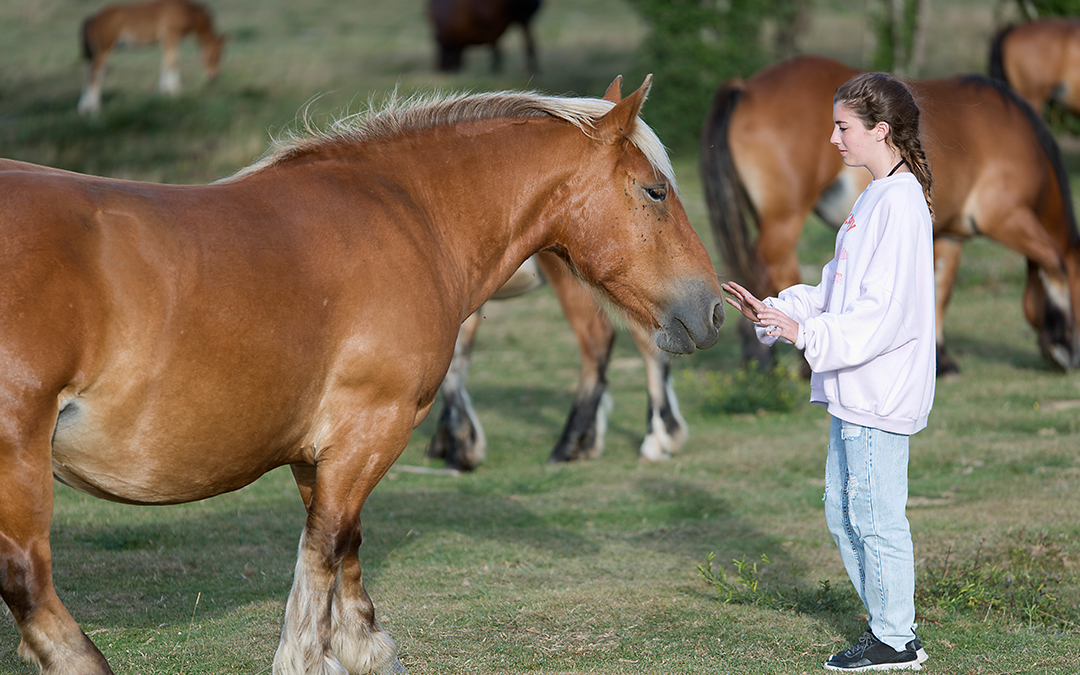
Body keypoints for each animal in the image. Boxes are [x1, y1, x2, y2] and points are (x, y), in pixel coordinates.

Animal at [77, 0, 227, 115]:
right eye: (214, 56)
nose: (213, 77)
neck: (186, 10)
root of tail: (91, 18)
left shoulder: (167, 40)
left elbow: (165, 62)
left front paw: (163, 91)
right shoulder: (172, 35)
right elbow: (172, 61)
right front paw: (175, 90)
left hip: (94, 54)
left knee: (88, 73)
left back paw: (84, 107)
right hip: (104, 50)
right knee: (95, 74)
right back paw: (94, 107)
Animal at [427, 251, 688, 472]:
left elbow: (450, 365)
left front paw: (461, 449)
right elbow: (458, 359)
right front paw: (447, 441)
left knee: (599, 338)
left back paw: (570, 444)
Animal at [701, 55, 1080, 375]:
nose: (1073, 355)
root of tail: (746, 88)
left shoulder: (950, 235)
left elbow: (940, 289)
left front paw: (942, 360)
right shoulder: (1006, 218)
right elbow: (1055, 262)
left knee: (782, 271)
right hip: (785, 218)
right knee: (764, 268)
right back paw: (763, 362)